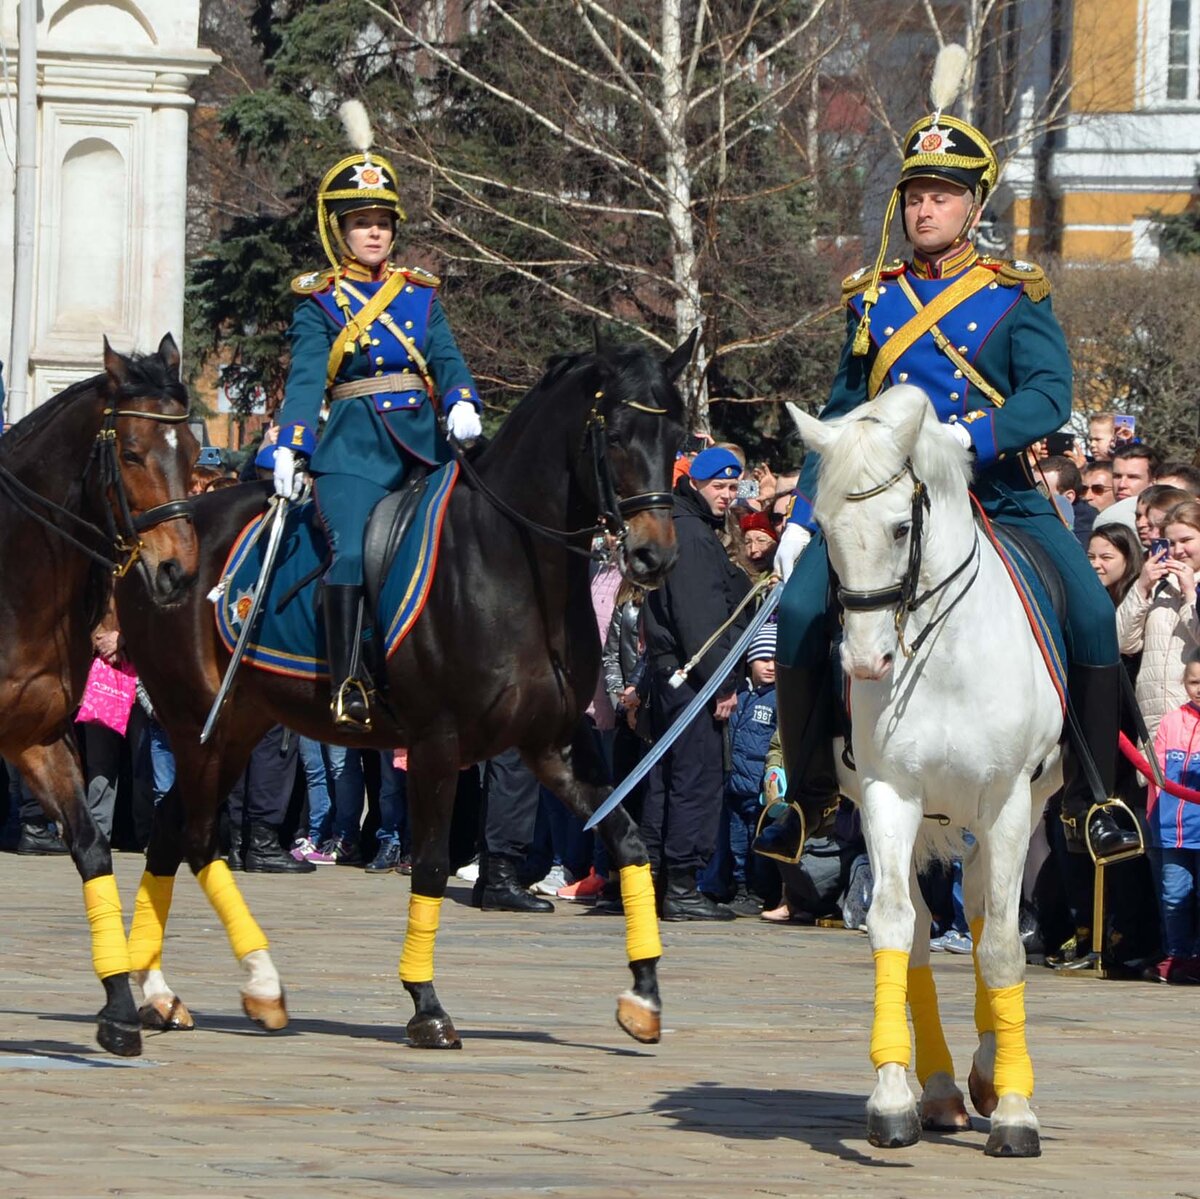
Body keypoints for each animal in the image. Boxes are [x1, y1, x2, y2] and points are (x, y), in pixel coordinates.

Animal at [0, 333, 199, 1056]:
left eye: (191, 452)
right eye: (133, 452)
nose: (176, 571)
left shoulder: (33, 736)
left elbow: (90, 845)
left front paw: (119, 1006)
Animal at [112, 336, 696, 1051]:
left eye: (677, 436)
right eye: (612, 435)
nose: (654, 557)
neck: (513, 565)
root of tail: (151, 545)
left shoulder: (553, 747)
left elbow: (628, 838)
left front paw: (643, 992)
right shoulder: (436, 745)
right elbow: (432, 865)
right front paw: (426, 1004)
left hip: (233, 729)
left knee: (170, 832)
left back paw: (157, 993)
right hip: (199, 724)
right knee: (195, 838)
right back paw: (256, 985)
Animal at [787, 386, 1060, 1161]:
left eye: (903, 526)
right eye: (824, 528)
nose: (865, 662)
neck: (941, 650)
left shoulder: (1006, 802)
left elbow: (1003, 946)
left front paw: (1017, 1110)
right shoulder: (890, 794)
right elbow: (892, 927)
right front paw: (891, 1099)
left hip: (1021, 809)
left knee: (986, 917)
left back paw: (992, 1076)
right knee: (923, 929)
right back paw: (939, 1090)